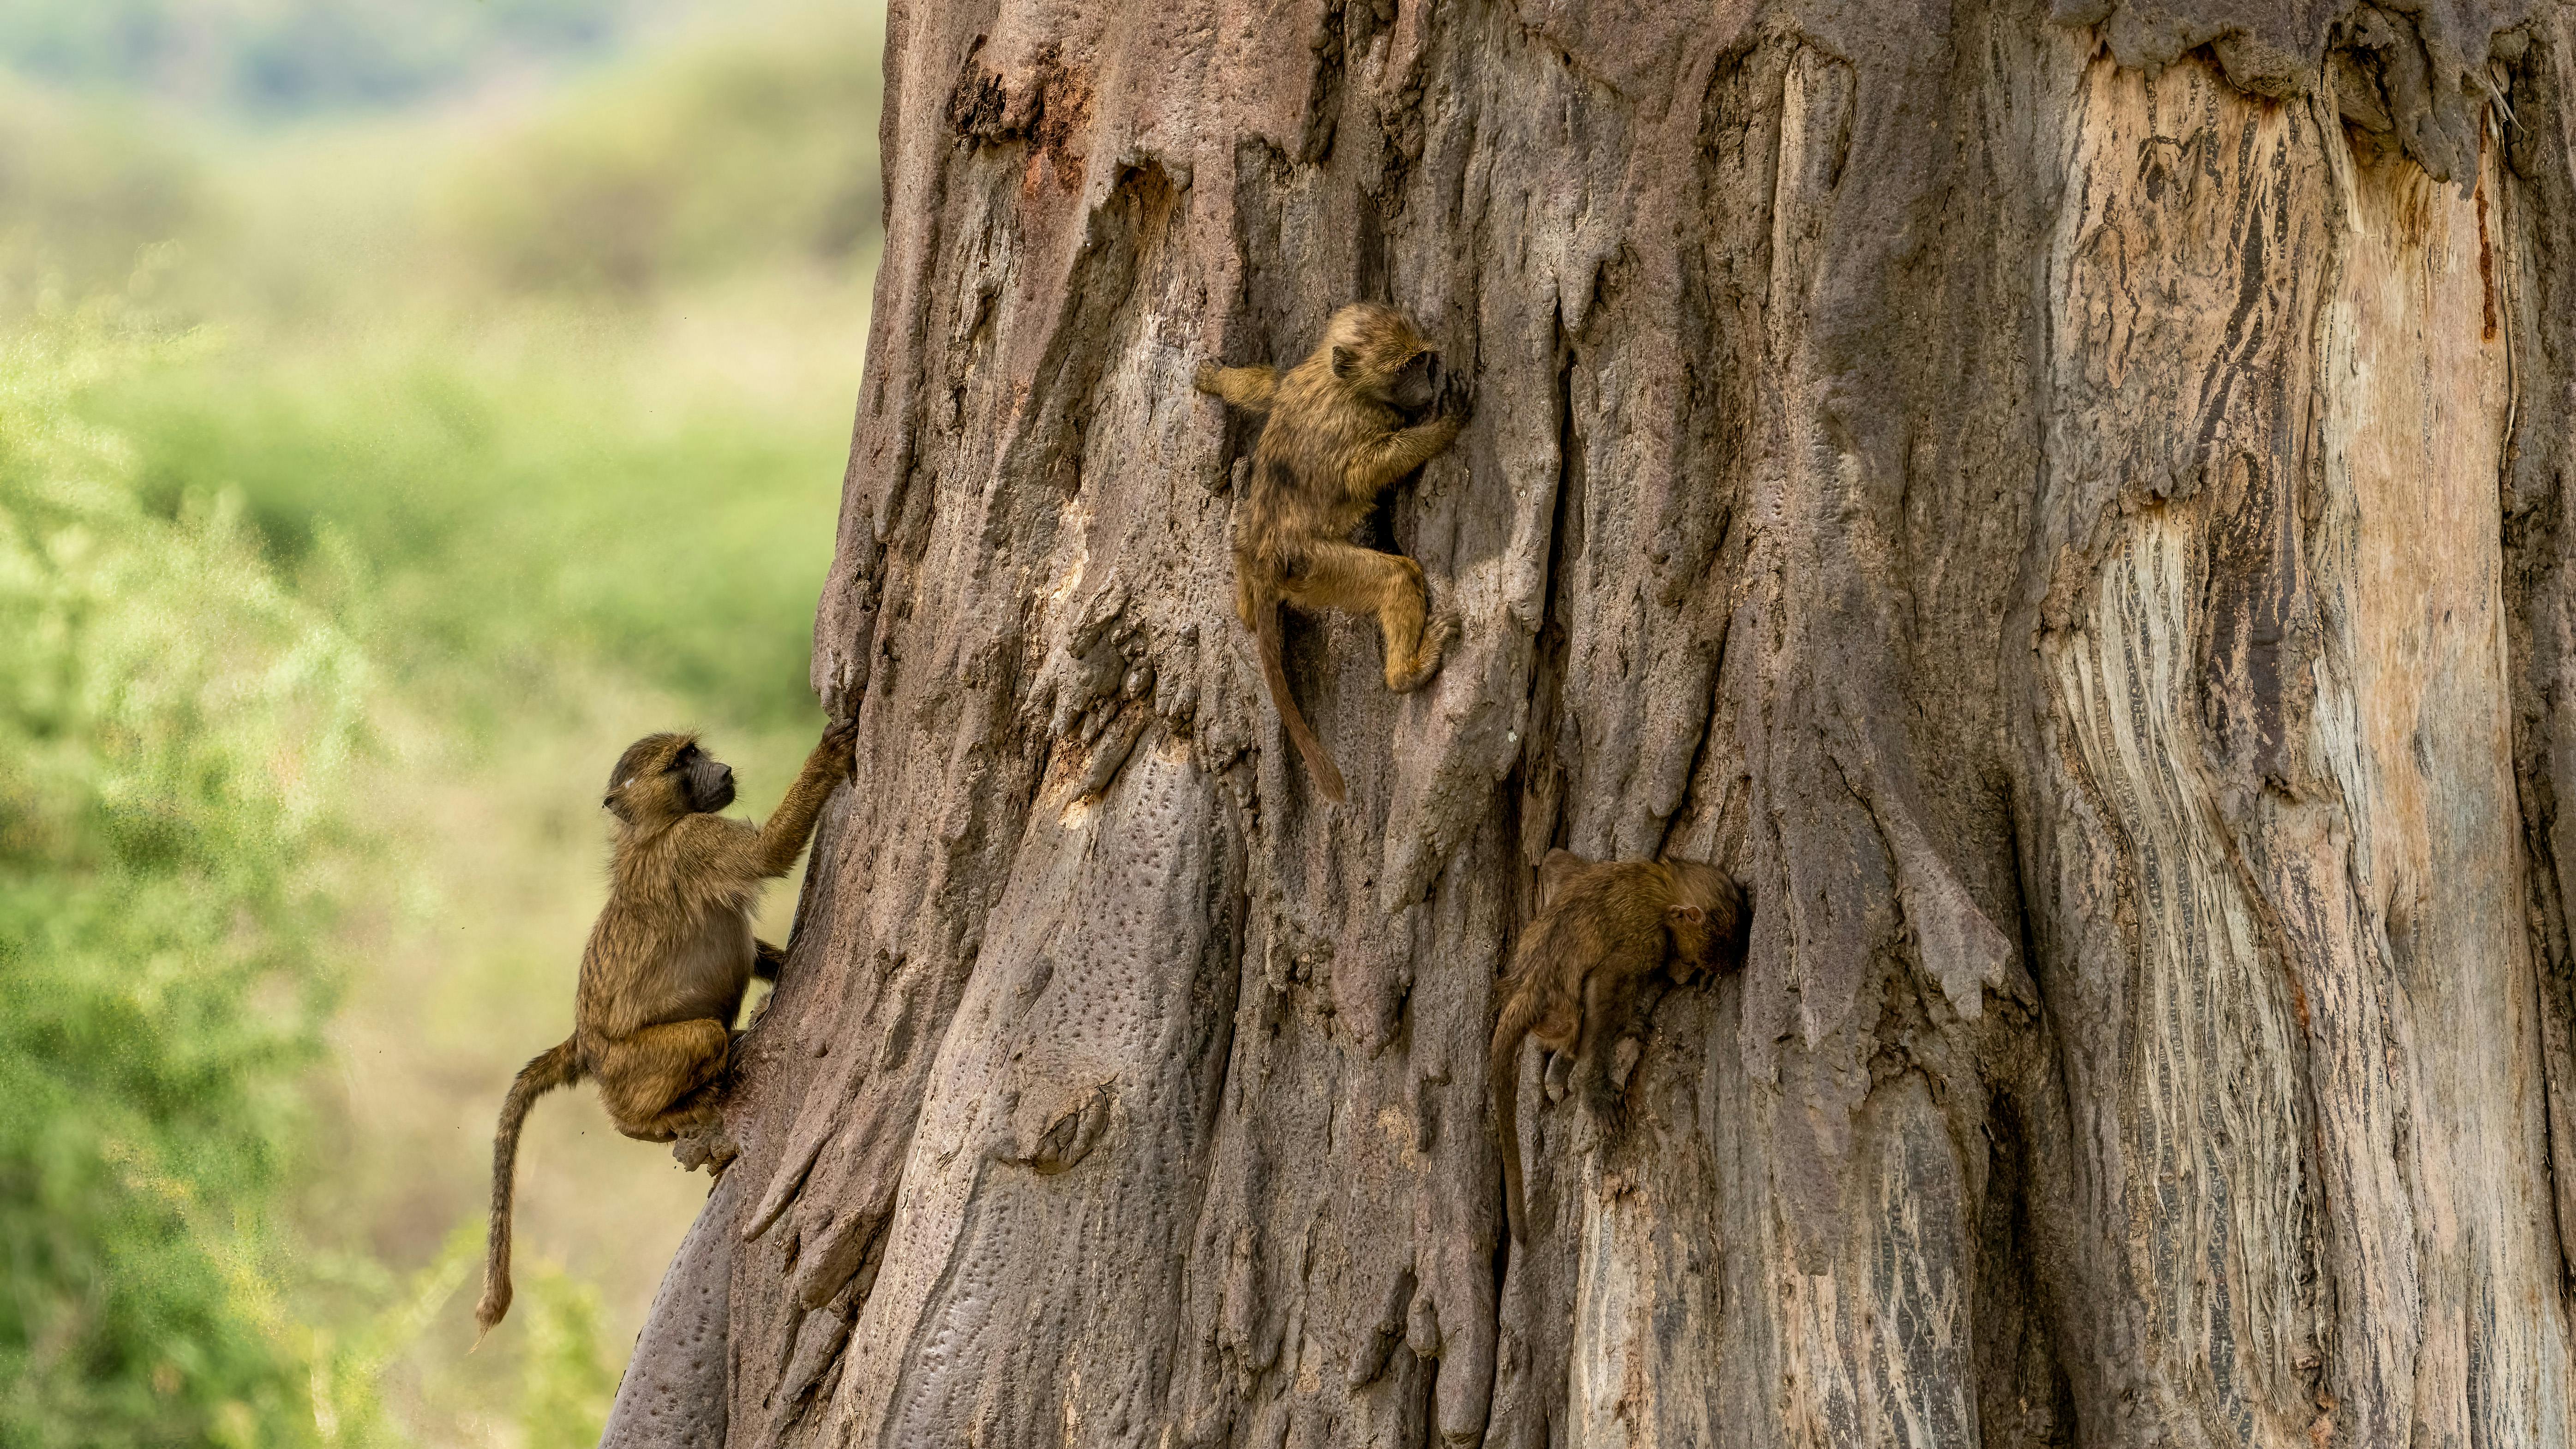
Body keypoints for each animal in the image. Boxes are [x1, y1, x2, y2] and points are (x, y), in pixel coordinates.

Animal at [475, 717, 855, 1337]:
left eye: (697, 751)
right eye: (682, 761)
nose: (724, 770)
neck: (652, 832)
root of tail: (584, 1040)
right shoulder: (695, 843)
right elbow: (766, 853)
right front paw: (829, 752)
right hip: (629, 1063)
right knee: (700, 1040)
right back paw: (649, 1119)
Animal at [1194, 302, 1468, 802]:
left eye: (1420, 361)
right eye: (1403, 369)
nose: (1424, 388)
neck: (1339, 380)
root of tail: (1266, 557)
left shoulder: (1297, 379)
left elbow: (1269, 389)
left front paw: (1216, 379)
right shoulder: (1363, 419)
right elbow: (1363, 472)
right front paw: (1444, 426)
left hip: (1254, 553)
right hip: (1312, 568)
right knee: (1397, 577)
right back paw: (1409, 672)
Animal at [1489, 849, 1748, 1243]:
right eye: (1693, 958)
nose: (1684, 973)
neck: (1663, 887)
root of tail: (1526, 988)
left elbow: (1556, 863)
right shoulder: (1651, 940)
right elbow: (1606, 981)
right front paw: (1593, 1091)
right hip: (1558, 1015)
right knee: (1582, 1016)